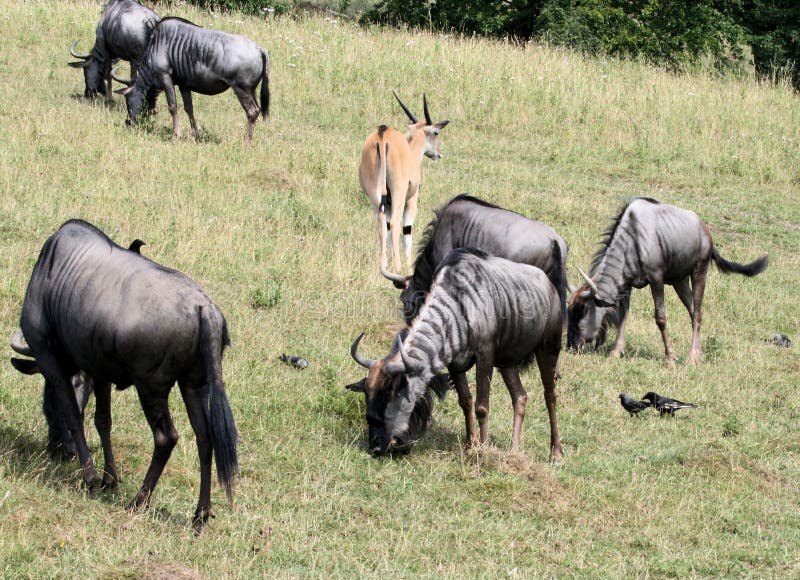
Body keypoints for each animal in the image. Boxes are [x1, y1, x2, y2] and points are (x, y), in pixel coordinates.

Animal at [358, 92, 449, 273]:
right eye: (436, 133)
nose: (439, 154)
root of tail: (382, 135)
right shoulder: (412, 200)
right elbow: (407, 232)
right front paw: (408, 267)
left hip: (376, 199)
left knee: (381, 224)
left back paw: (384, 265)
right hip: (399, 196)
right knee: (394, 224)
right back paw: (398, 266)